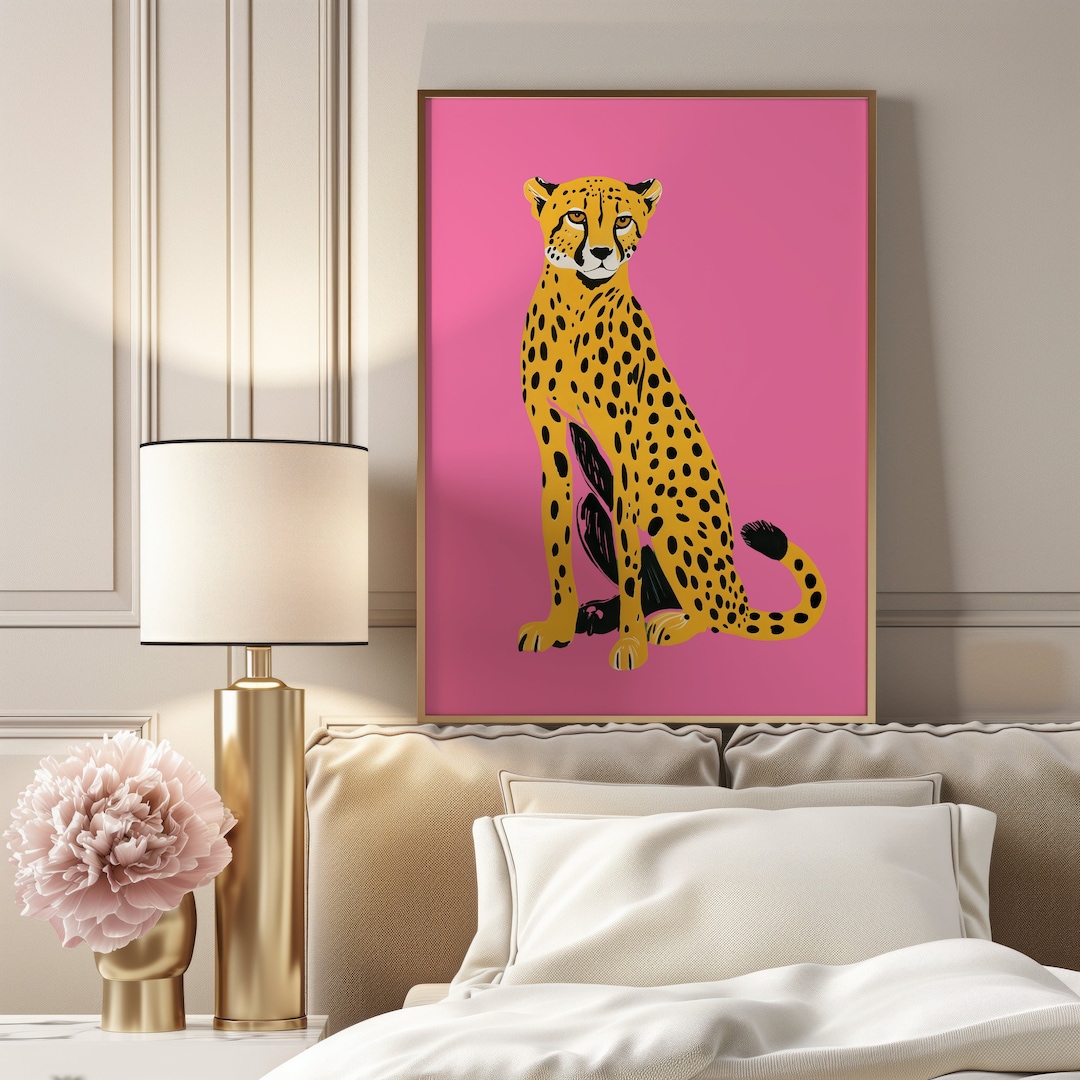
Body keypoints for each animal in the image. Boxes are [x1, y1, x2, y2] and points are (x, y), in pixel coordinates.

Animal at [517, 175, 826, 671]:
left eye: (623, 220)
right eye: (576, 215)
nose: (601, 252)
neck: (579, 301)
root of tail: (738, 593)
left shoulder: (626, 457)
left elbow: (628, 560)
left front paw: (630, 644)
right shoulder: (553, 445)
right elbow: (556, 541)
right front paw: (558, 628)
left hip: (675, 524)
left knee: (717, 614)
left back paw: (670, 624)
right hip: (593, 507)